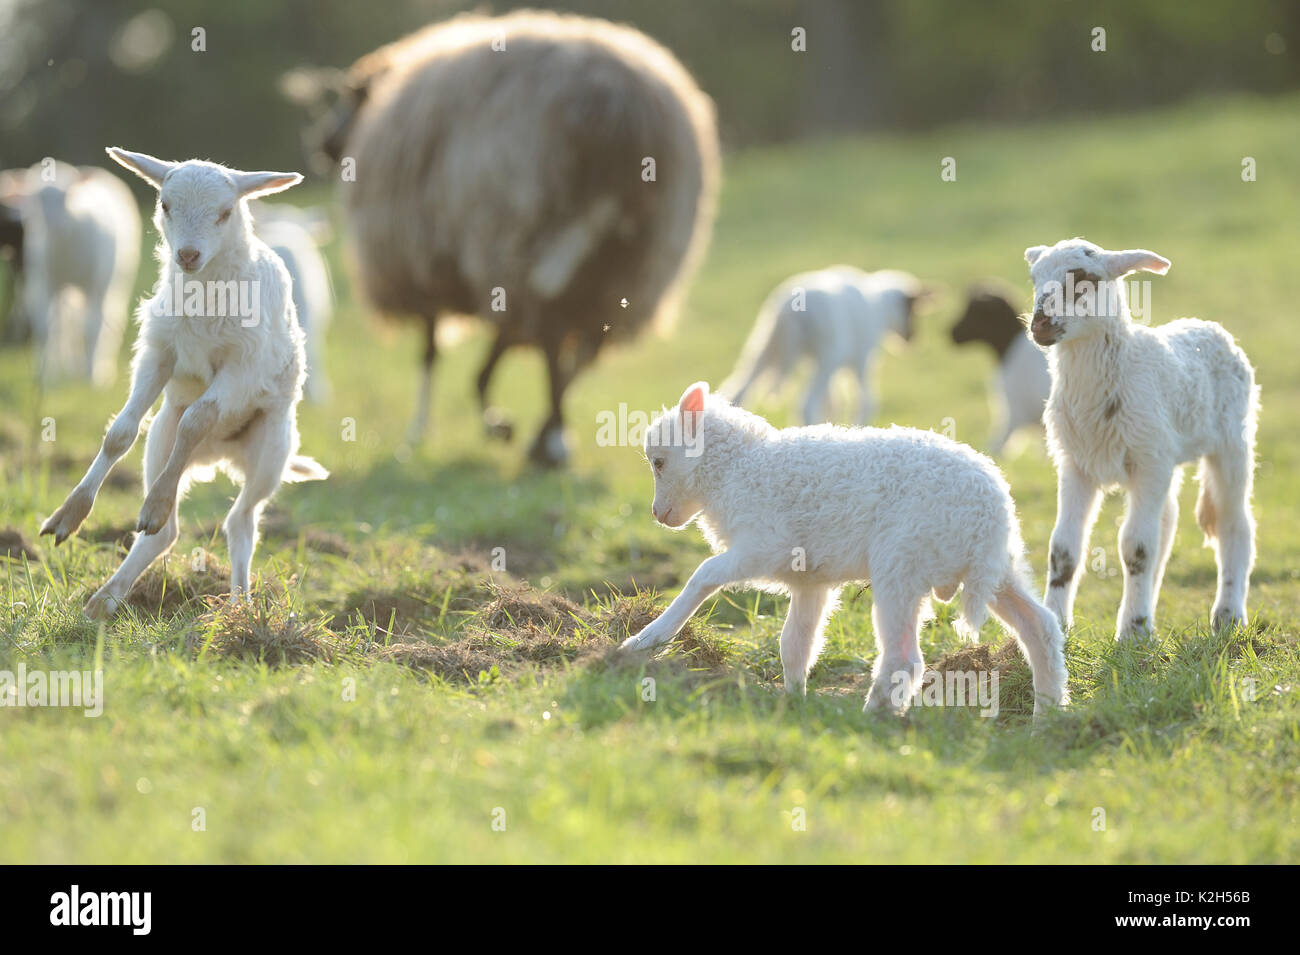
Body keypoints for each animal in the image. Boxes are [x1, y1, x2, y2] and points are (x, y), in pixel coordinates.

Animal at [1, 162, 141, 387]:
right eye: (34, 199)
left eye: (67, 196)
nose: (54, 225)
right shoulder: (44, 282)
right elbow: (45, 327)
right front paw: (44, 376)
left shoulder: (94, 284)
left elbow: (91, 327)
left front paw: (91, 376)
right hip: (63, 286)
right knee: (66, 325)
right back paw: (67, 367)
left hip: (116, 279)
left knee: (105, 319)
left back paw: (98, 368)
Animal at [298, 10, 719, 465]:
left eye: (352, 97)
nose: (321, 146)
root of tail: (622, 114)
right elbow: (498, 347)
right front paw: (501, 422)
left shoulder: (425, 264)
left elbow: (431, 354)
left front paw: (428, 431)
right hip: (635, 260)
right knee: (587, 341)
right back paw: (547, 433)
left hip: (522, 225)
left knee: (553, 331)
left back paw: (550, 441)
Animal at [619, 381, 1069, 717]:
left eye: (659, 463)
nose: (658, 514)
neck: (738, 466)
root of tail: (990, 513)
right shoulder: (809, 580)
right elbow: (795, 644)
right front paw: (793, 701)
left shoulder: (766, 544)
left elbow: (703, 576)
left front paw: (646, 641)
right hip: (999, 568)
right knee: (1041, 628)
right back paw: (1046, 717)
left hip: (902, 563)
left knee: (905, 657)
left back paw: (872, 716)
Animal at [721, 267, 930, 425]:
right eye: (913, 311)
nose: (912, 339)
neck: (880, 306)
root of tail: (792, 312)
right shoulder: (862, 358)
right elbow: (864, 400)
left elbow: (832, 402)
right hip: (827, 356)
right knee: (806, 404)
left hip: (766, 344)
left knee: (738, 391)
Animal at [1023, 238, 1259, 639]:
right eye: (1035, 278)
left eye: (1085, 278)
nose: (1039, 324)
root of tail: (1209, 326)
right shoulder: (1076, 463)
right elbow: (1063, 549)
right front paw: (1056, 623)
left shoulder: (1147, 463)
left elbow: (1135, 548)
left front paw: (1132, 633)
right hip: (1167, 452)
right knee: (1166, 526)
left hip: (1232, 440)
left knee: (1234, 524)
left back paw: (1228, 616)